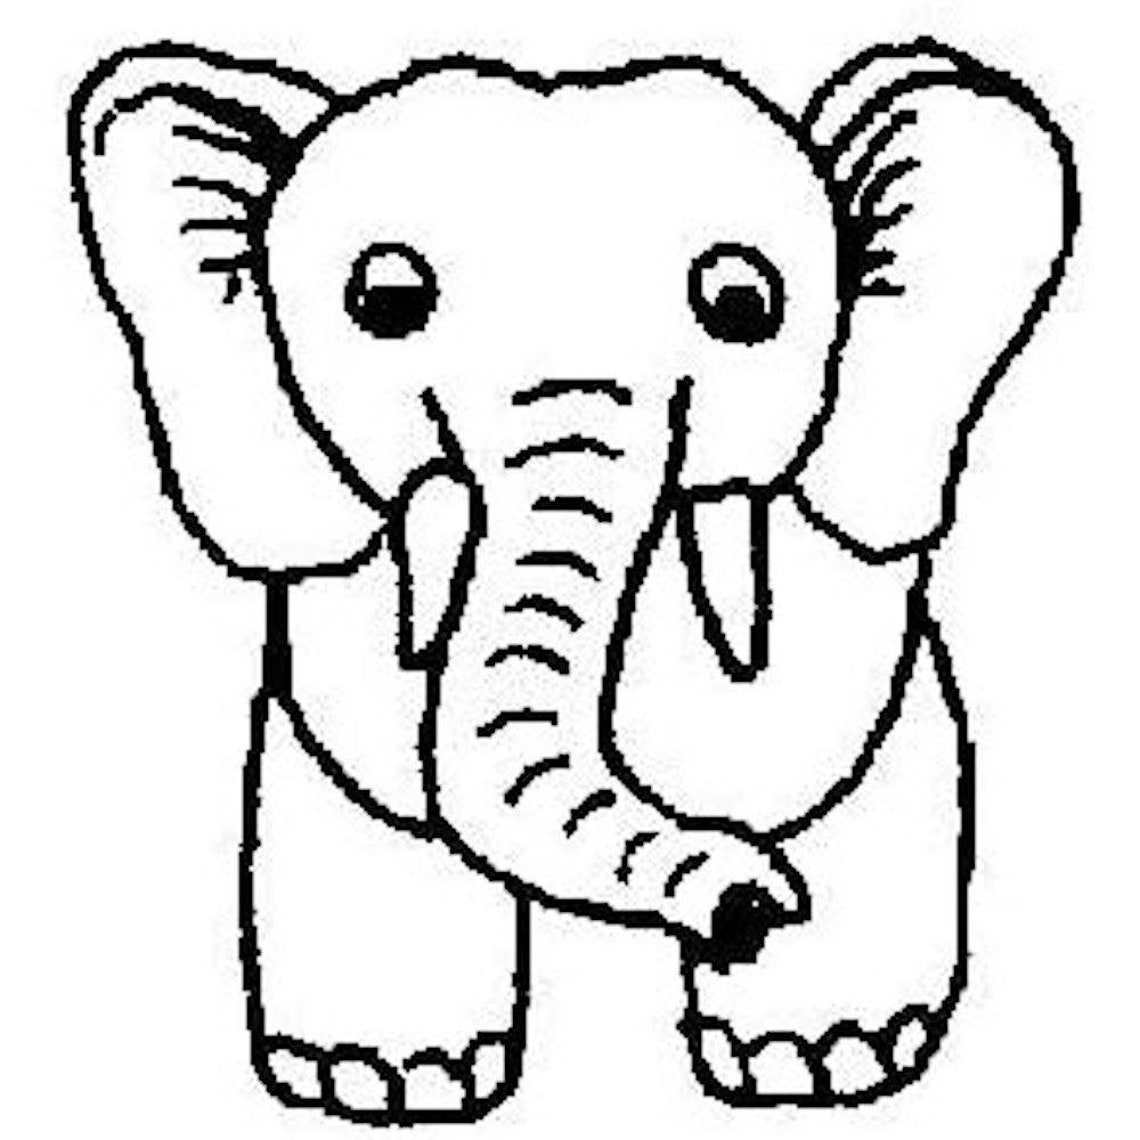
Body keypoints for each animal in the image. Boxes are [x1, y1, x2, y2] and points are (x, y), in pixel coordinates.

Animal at [70, 37, 1077, 1123]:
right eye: (383, 303)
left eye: (744, 305)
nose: (754, 909)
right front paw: (385, 1083)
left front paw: (814, 1051)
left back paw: (821, 1061)